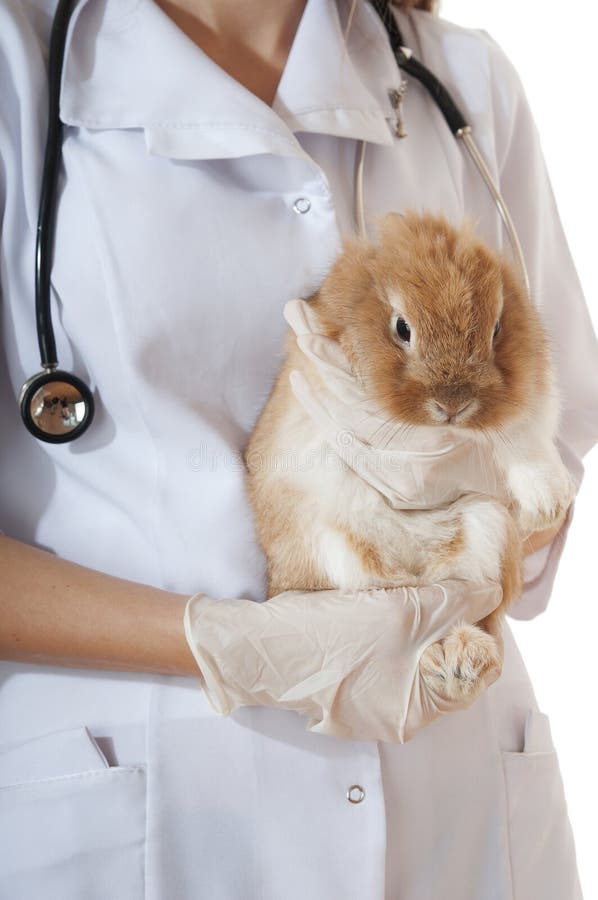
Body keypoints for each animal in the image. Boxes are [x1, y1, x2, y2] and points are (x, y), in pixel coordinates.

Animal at [245, 212, 576, 704]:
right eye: (402, 328)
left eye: (496, 330)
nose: (453, 403)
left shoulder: (529, 420)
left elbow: (521, 449)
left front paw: (547, 506)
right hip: (332, 548)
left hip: (486, 532)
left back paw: (460, 658)